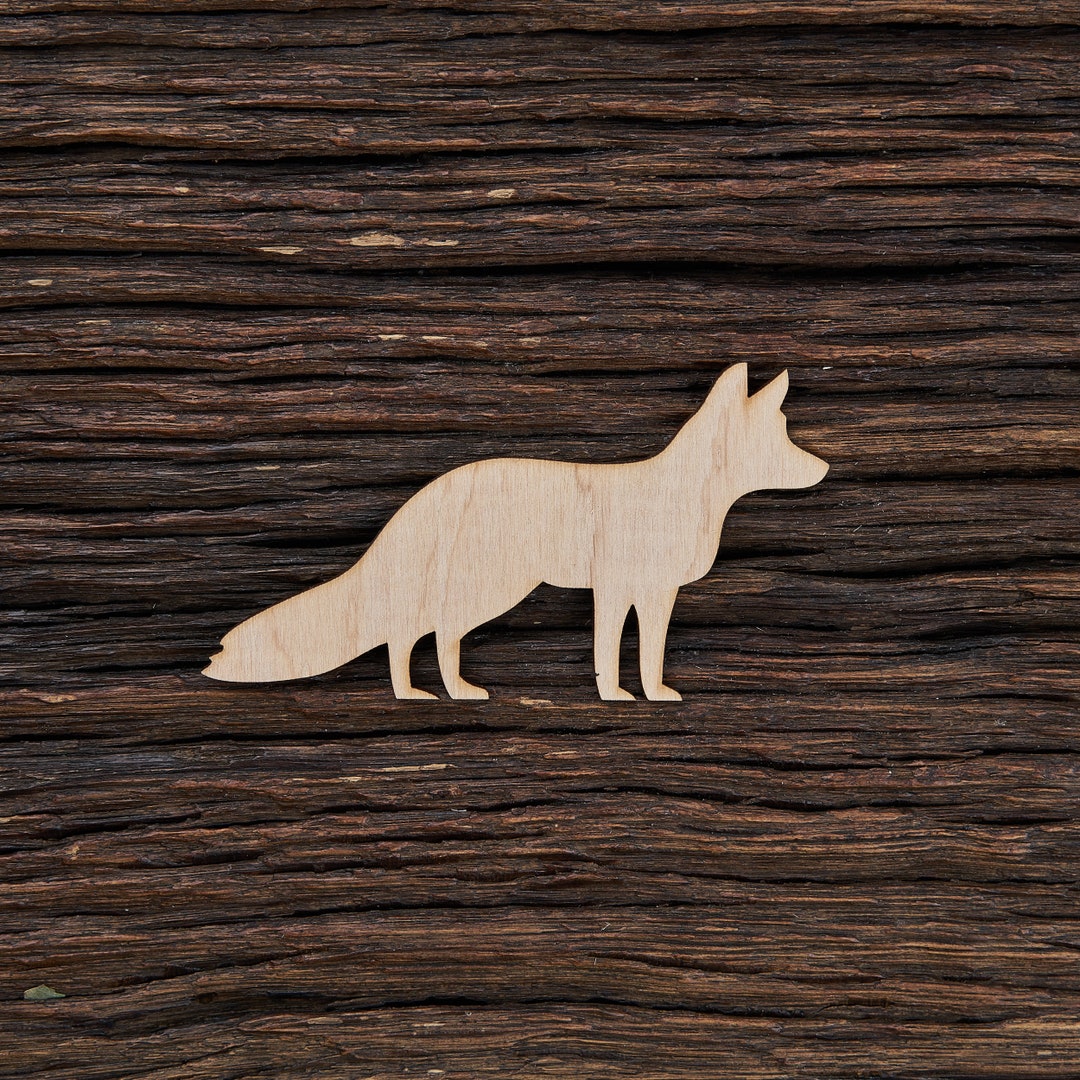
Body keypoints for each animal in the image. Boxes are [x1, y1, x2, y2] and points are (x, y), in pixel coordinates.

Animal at [203, 363, 828, 701]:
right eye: (784, 433)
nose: (825, 469)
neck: (685, 493)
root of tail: (433, 490)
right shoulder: (613, 589)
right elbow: (607, 650)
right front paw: (612, 695)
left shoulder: (655, 594)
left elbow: (649, 654)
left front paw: (650, 695)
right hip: (493, 590)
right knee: (423, 636)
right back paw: (438, 693)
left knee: (415, 636)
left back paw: (429, 692)